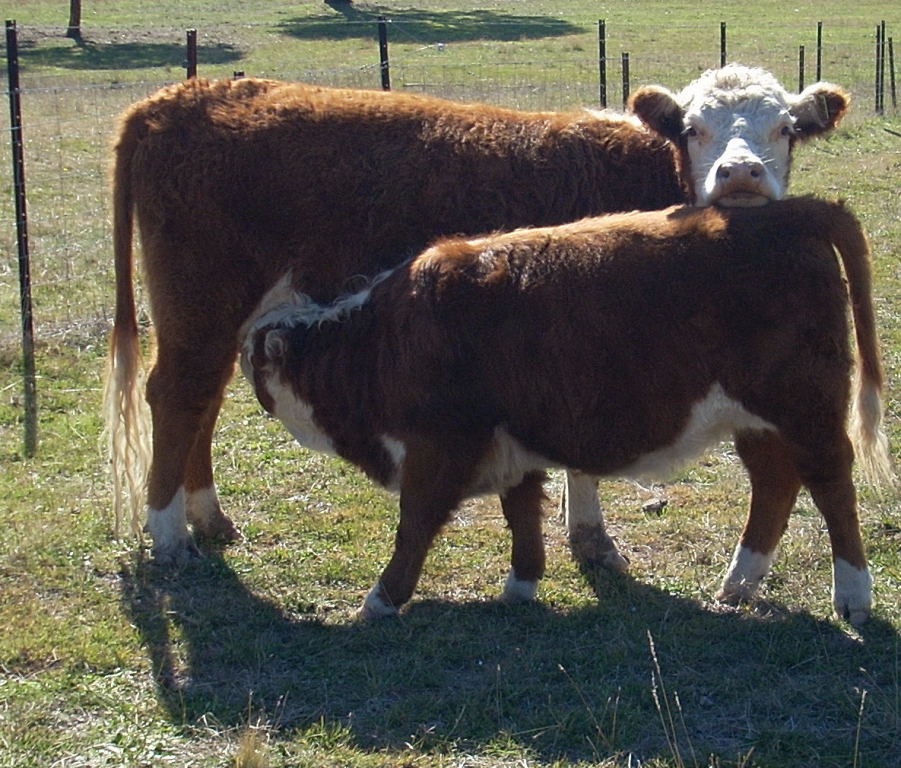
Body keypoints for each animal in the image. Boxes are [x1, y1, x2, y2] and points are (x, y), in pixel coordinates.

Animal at [104, 65, 851, 566]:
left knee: (202, 400)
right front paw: (592, 536)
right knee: (178, 396)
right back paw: (168, 534)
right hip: (201, 302)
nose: (741, 175)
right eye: (694, 129)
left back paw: (208, 518)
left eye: (785, 128)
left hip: (216, 316)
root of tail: (180, 97)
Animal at [240, 198, 894, 626]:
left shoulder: (440, 447)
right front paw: (520, 585)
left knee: (832, 485)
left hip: (806, 409)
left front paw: (381, 599)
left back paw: (853, 596)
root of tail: (788, 212)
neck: (381, 341)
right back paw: (738, 585)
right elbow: (522, 511)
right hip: (757, 420)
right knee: (775, 484)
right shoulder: (512, 442)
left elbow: (416, 523)